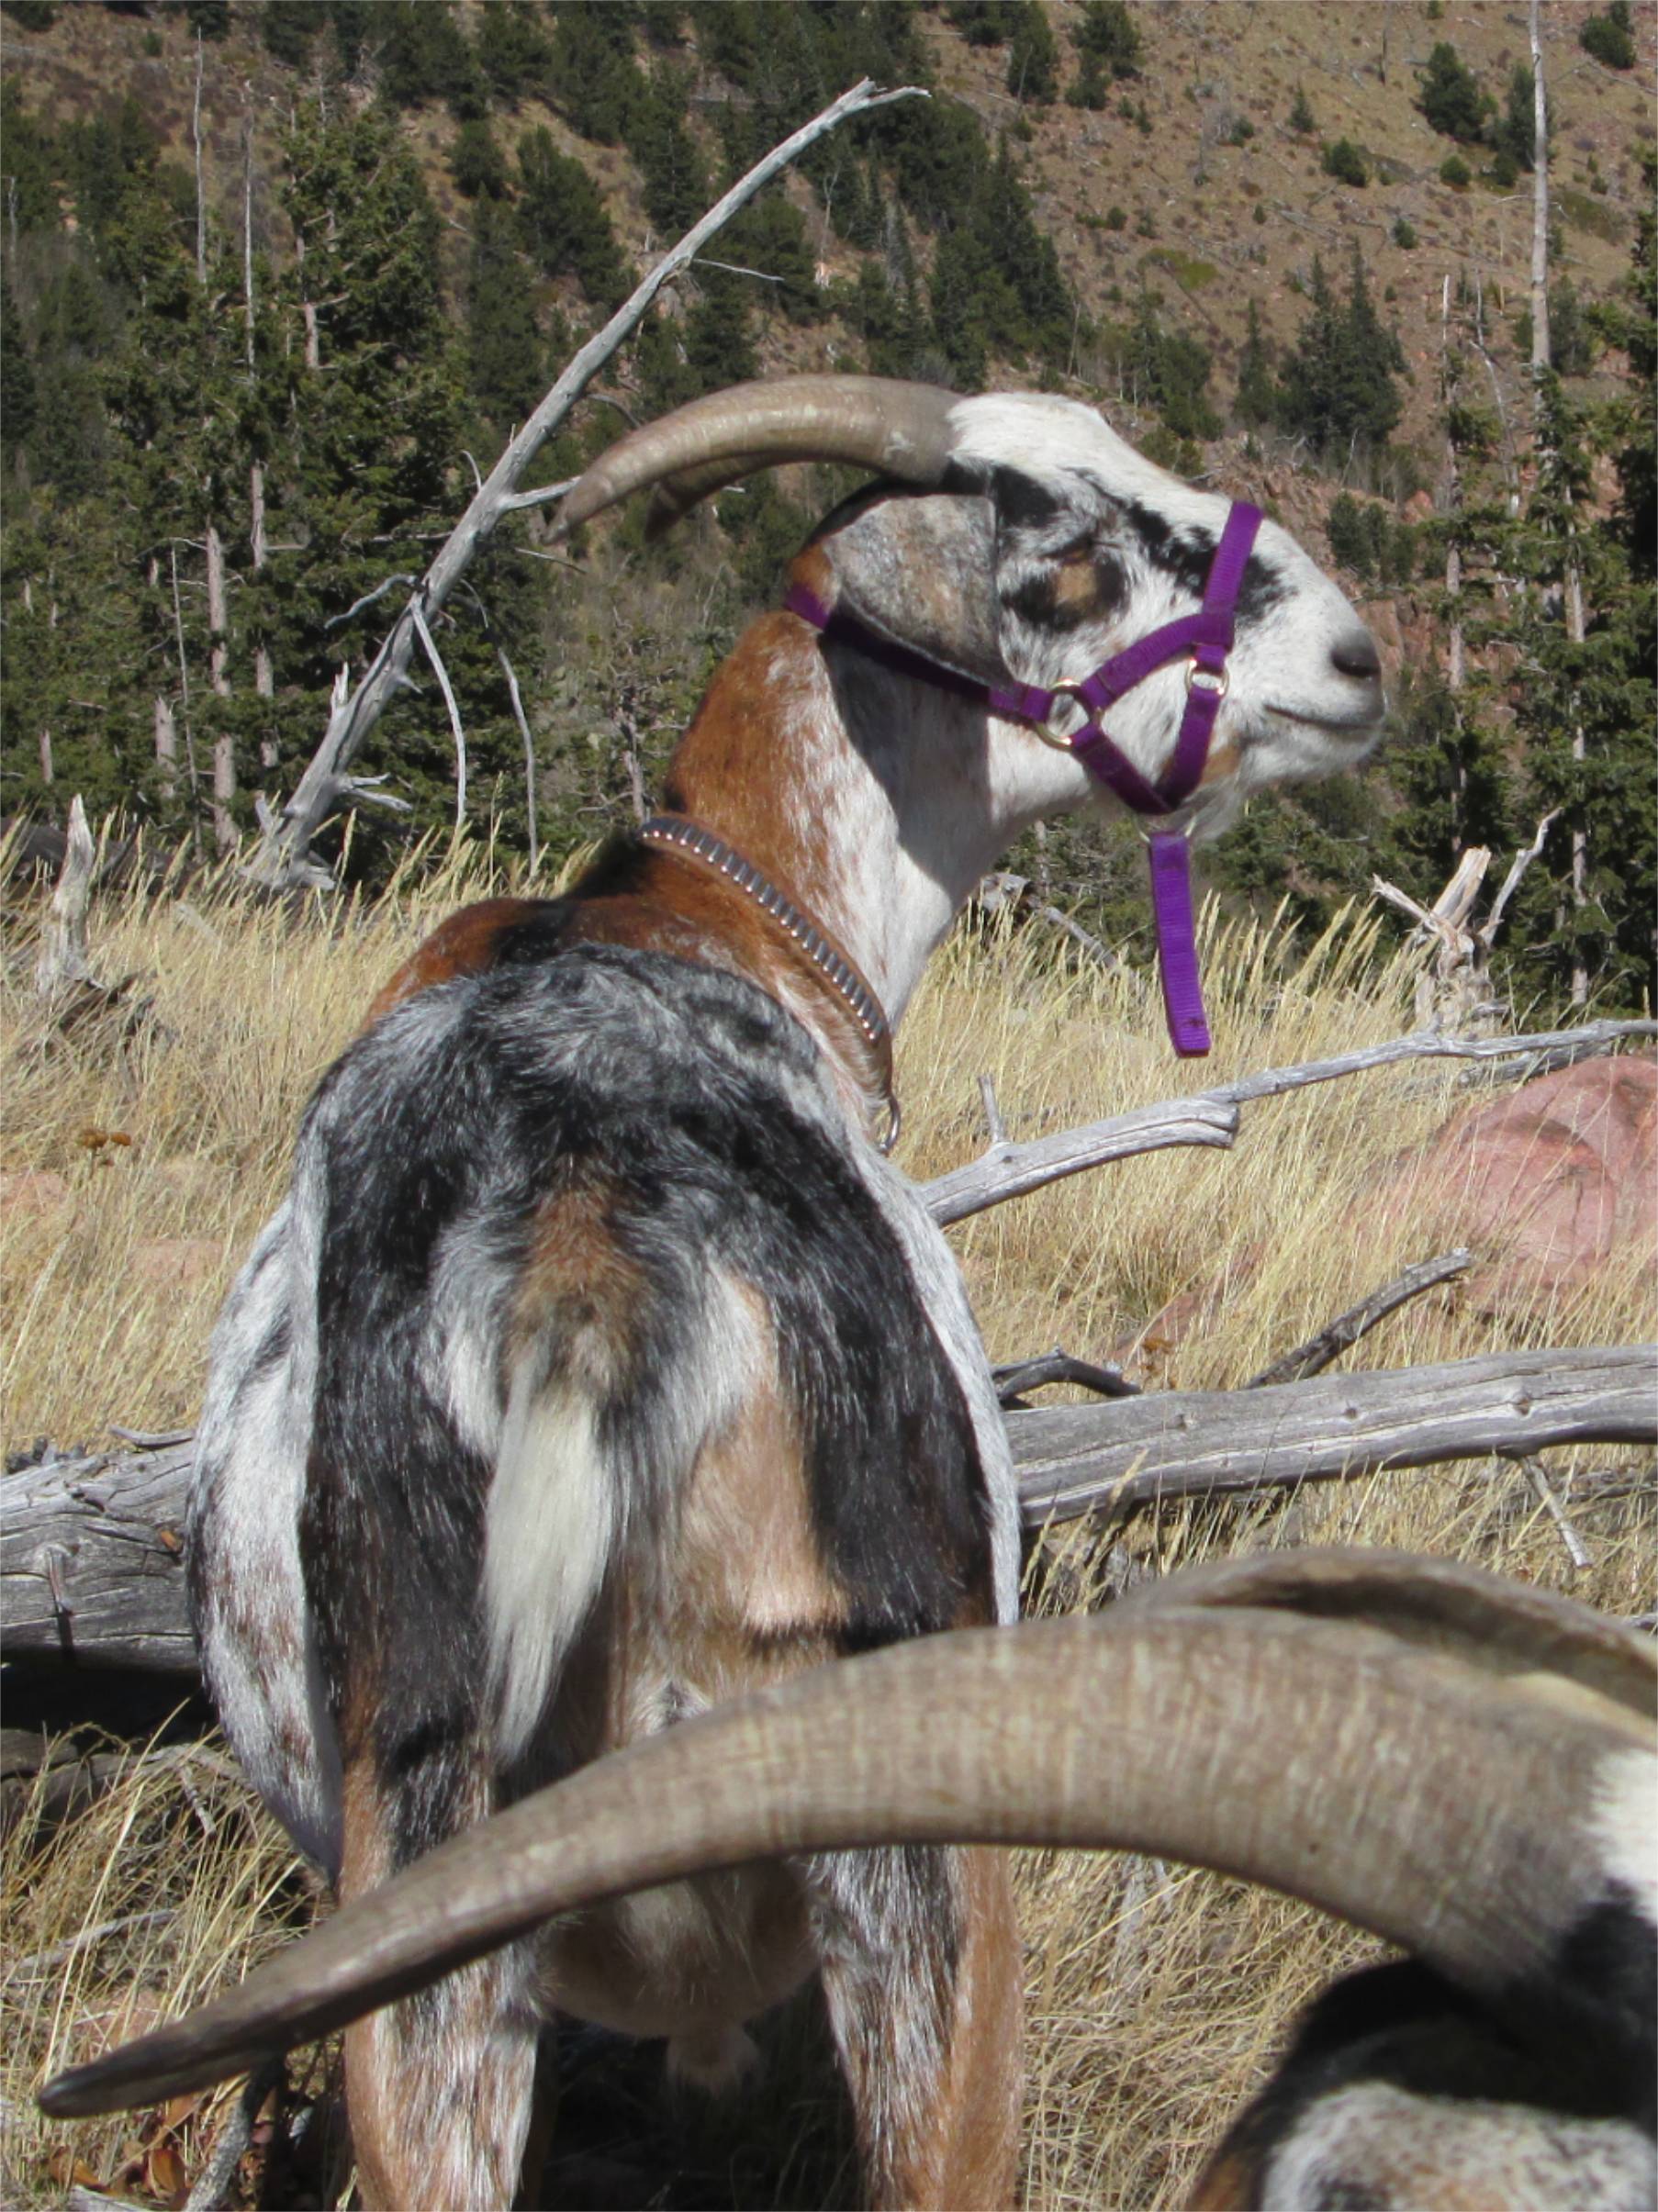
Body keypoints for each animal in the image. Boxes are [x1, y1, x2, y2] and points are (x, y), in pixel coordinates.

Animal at [62, 378, 1386, 2208]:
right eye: (1063, 558)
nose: (1351, 658)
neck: (702, 901)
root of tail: (582, 1256)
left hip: (424, 1878)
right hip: (910, 1832)